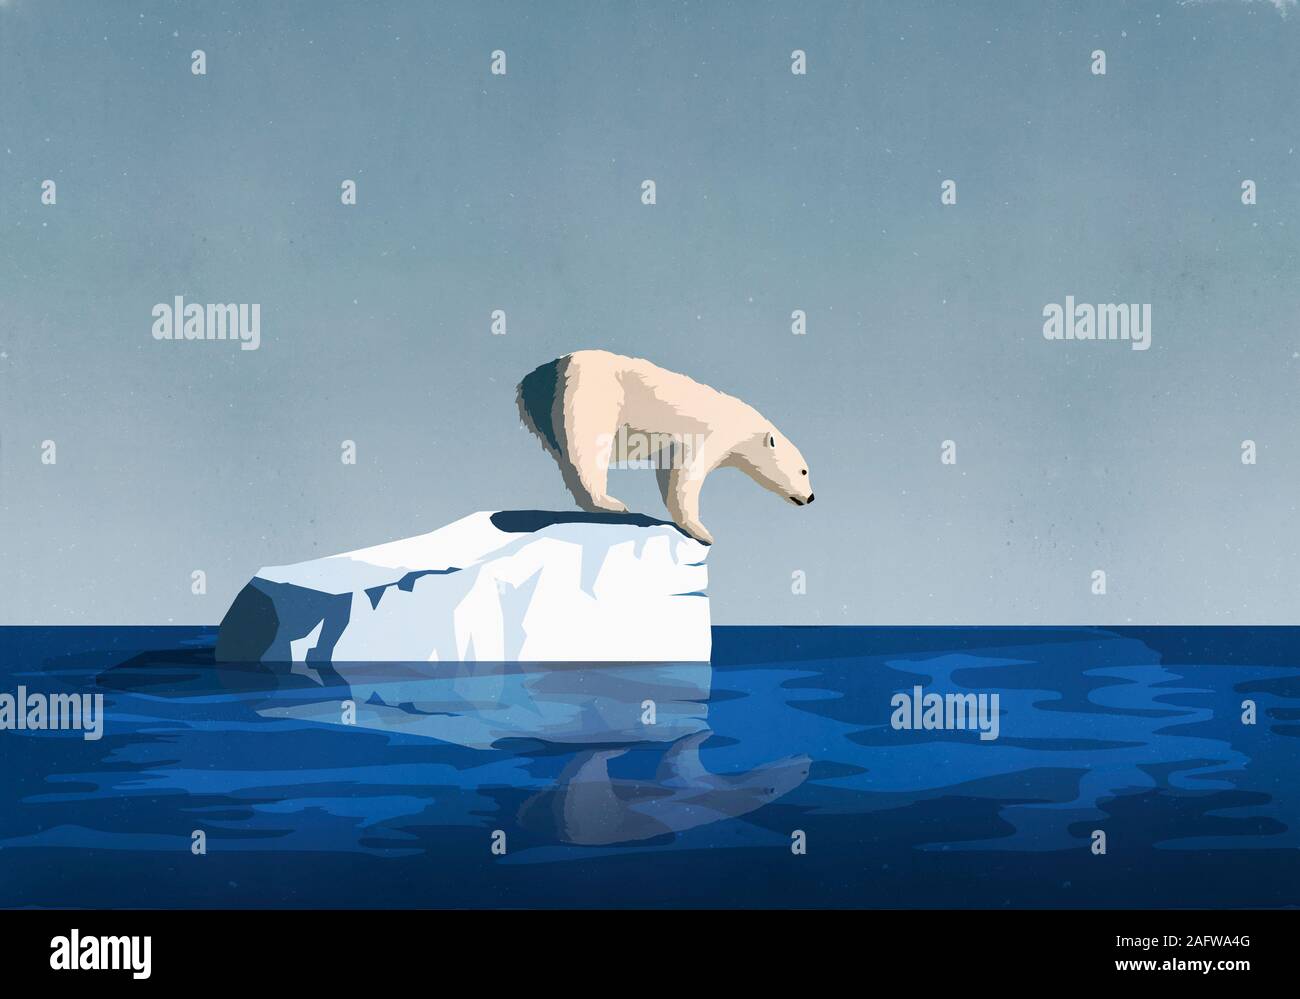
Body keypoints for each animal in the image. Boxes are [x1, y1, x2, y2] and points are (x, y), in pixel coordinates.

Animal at [516, 349, 814, 545]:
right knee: (587, 444)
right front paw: (703, 532)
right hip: (592, 391)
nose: (810, 497)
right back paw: (611, 503)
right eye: (804, 470)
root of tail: (543, 374)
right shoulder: (709, 433)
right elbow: (688, 473)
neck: (741, 424)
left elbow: (668, 471)